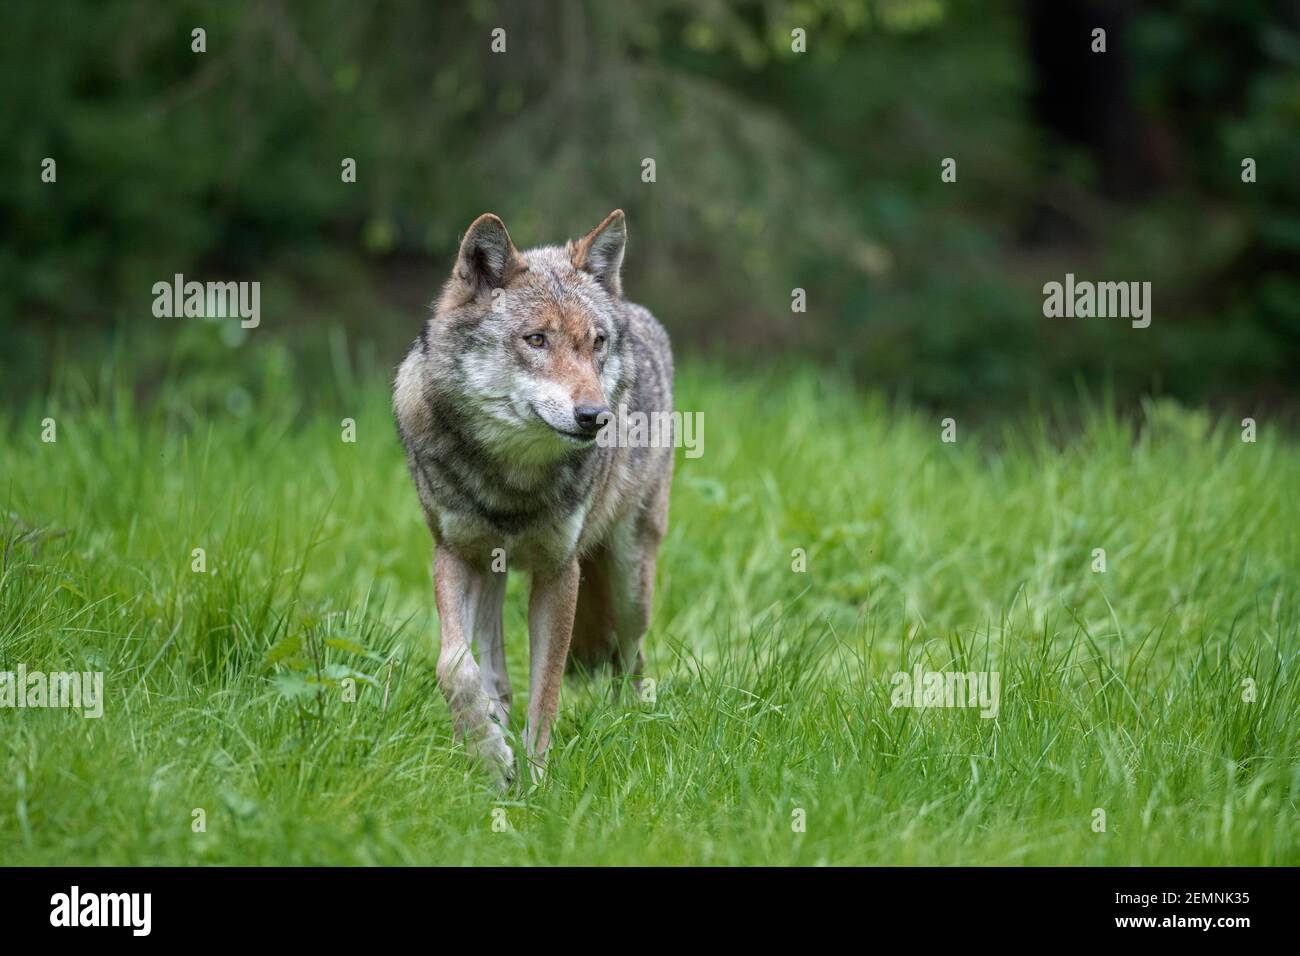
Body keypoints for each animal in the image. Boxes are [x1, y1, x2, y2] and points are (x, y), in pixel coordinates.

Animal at [393, 210, 673, 784]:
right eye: (537, 339)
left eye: (596, 343)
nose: (595, 416)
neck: (512, 479)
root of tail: (636, 310)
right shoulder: (453, 554)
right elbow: (454, 665)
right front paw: (486, 751)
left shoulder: (559, 571)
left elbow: (546, 694)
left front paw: (537, 782)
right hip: (493, 570)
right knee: (494, 667)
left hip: (630, 582)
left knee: (630, 658)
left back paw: (626, 722)